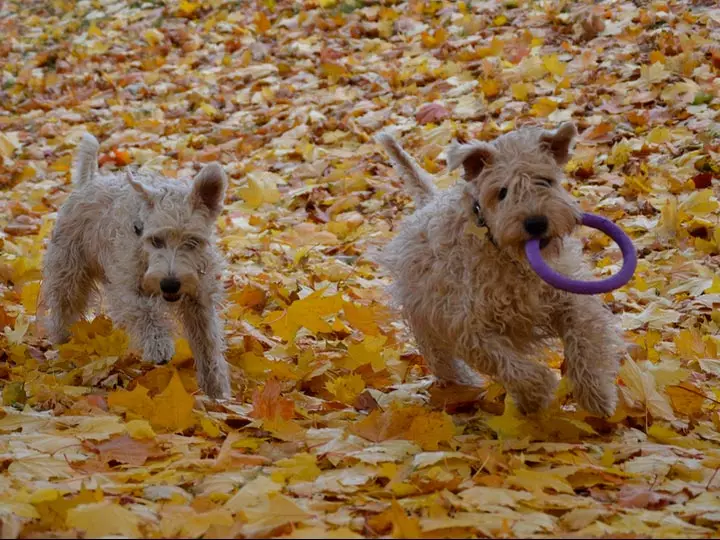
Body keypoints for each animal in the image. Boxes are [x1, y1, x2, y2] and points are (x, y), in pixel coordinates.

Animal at [376, 123, 624, 418]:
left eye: (545, 181)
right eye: (502, 191)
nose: (536, 223)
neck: (509, 258)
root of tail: (427, 202)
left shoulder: (569, 300)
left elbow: (585, 342)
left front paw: (598, 395)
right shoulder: (470, 325)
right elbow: (510, 365)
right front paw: (536, 394)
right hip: (426, 322)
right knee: (443, 360)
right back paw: (461, 387)